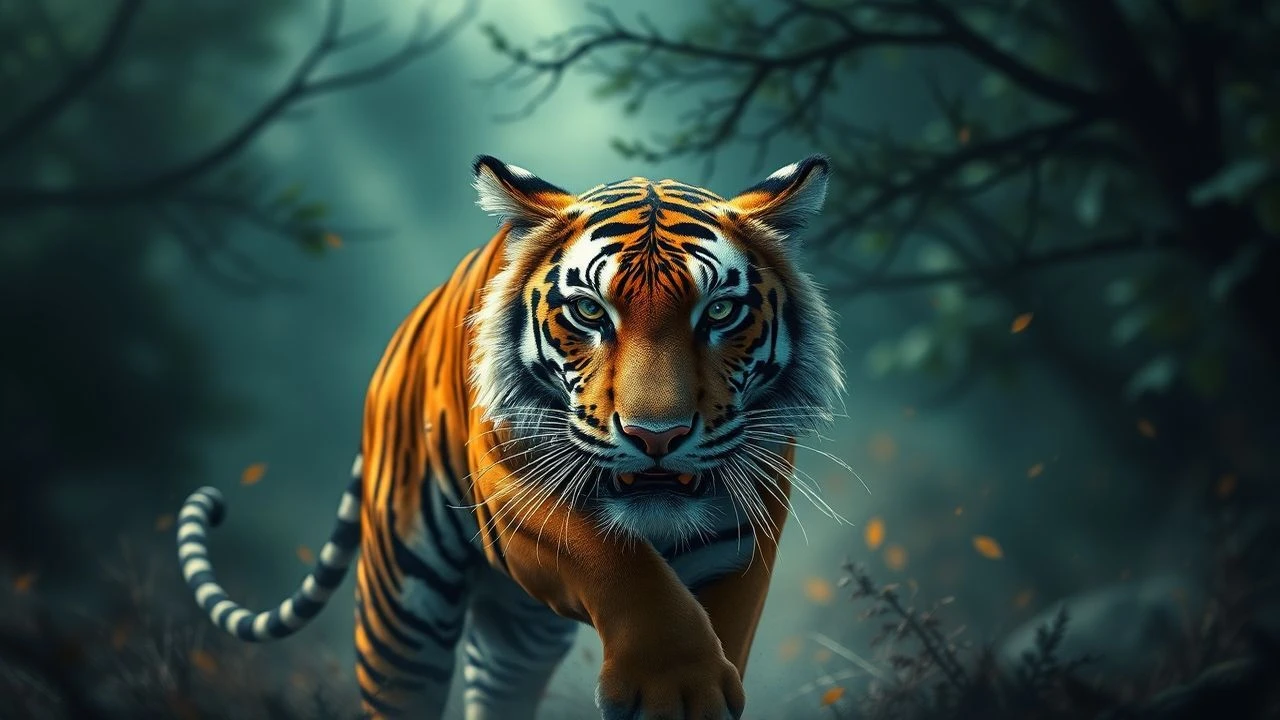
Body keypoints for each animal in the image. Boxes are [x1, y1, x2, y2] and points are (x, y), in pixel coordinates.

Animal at [176, 154, 844, 720]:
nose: (658, 436)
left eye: (720, 312)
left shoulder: (743, 536)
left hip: (517, 635)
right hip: (403, 607)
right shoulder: (517, 493)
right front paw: (673, 685)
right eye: (591, 312)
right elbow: (620, 563)